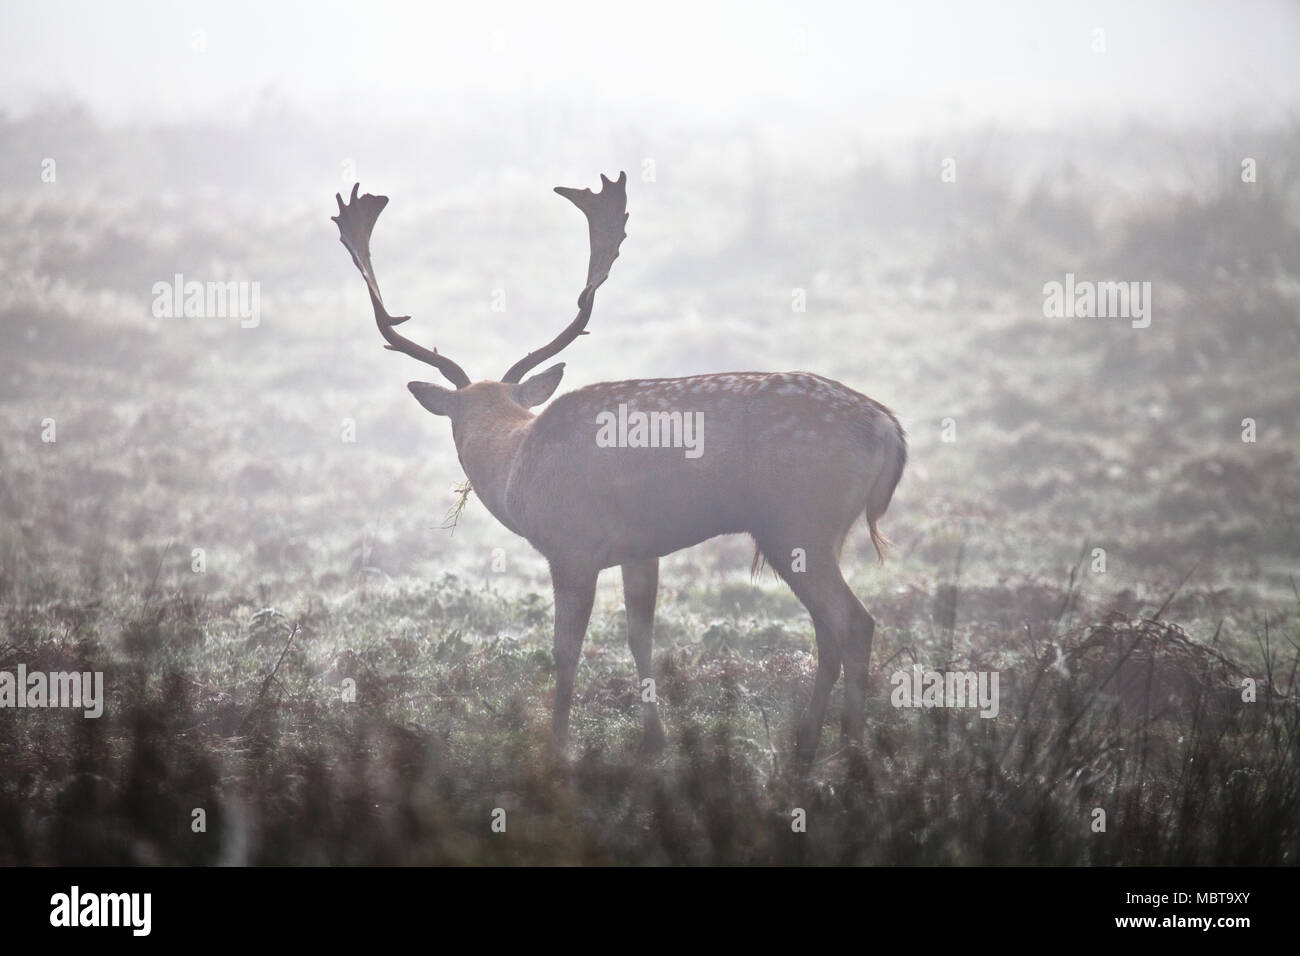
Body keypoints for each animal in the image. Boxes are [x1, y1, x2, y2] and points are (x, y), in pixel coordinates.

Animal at [332, 172, 906, 768]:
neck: (516, 465)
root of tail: (888, 428)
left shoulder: (571, 545)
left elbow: (566, 648)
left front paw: (558, 744)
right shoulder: (641, 548)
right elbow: (639, 635)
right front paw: (654, 740)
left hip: (797, 521)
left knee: (852, 622)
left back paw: (850, 748)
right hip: (810, 533)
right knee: (829, 630)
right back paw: (810, 745)